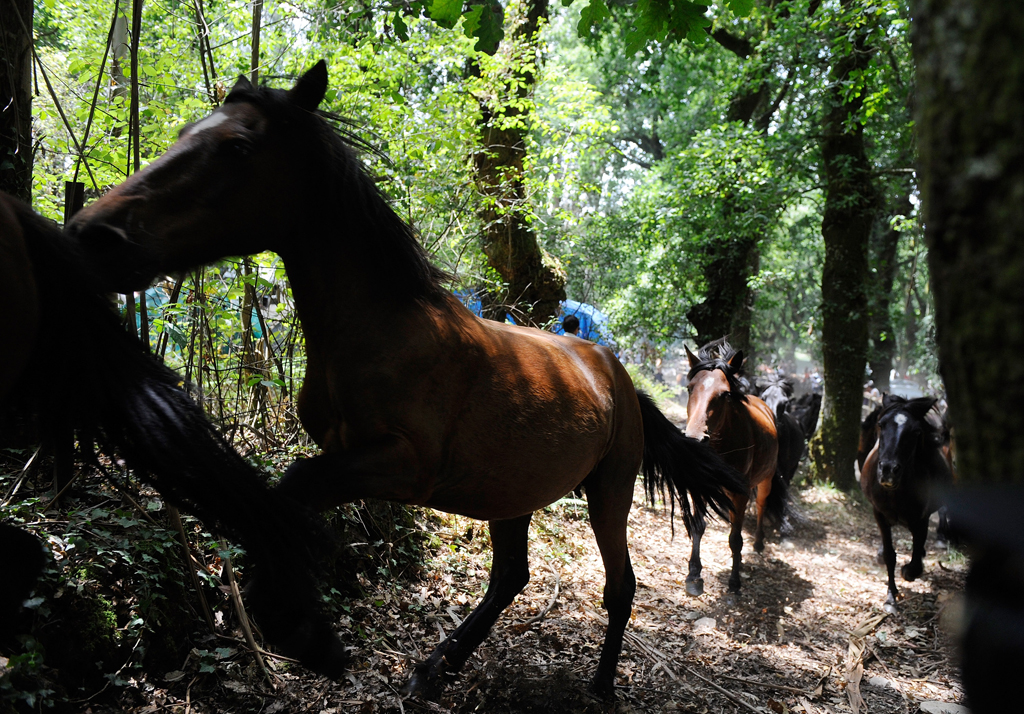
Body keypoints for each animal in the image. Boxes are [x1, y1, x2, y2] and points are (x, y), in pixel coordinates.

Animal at [65, 61, 747, 698]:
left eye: (236, 146)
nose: (93, 233)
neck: (381, 328)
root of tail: (615, 372)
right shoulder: (348, 455)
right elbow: (291, 490)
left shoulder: (405, 465)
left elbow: (294, 483)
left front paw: (294, 622)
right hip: (512, 490)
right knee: (511, 577)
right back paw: (437, 666)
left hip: (609, 489)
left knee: (618, 585)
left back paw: (599, 684)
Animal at [683, 339, 785, 595]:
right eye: (690, 388)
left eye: (725, 394)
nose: (695, 438)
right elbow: (697, 527)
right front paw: (694, 574)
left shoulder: (740, 493)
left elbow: (735, 540)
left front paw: (735, 583)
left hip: (766, 480)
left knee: (760, 505)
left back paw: (758, 542)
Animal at [859, 394, 954, 612]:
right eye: (881, 424)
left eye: (917, 431)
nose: (888, 470)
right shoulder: (879, 514)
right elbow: (889, 555)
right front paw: (890, 597)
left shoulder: (921, 519)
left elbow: (915, 564)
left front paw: (908, 571)